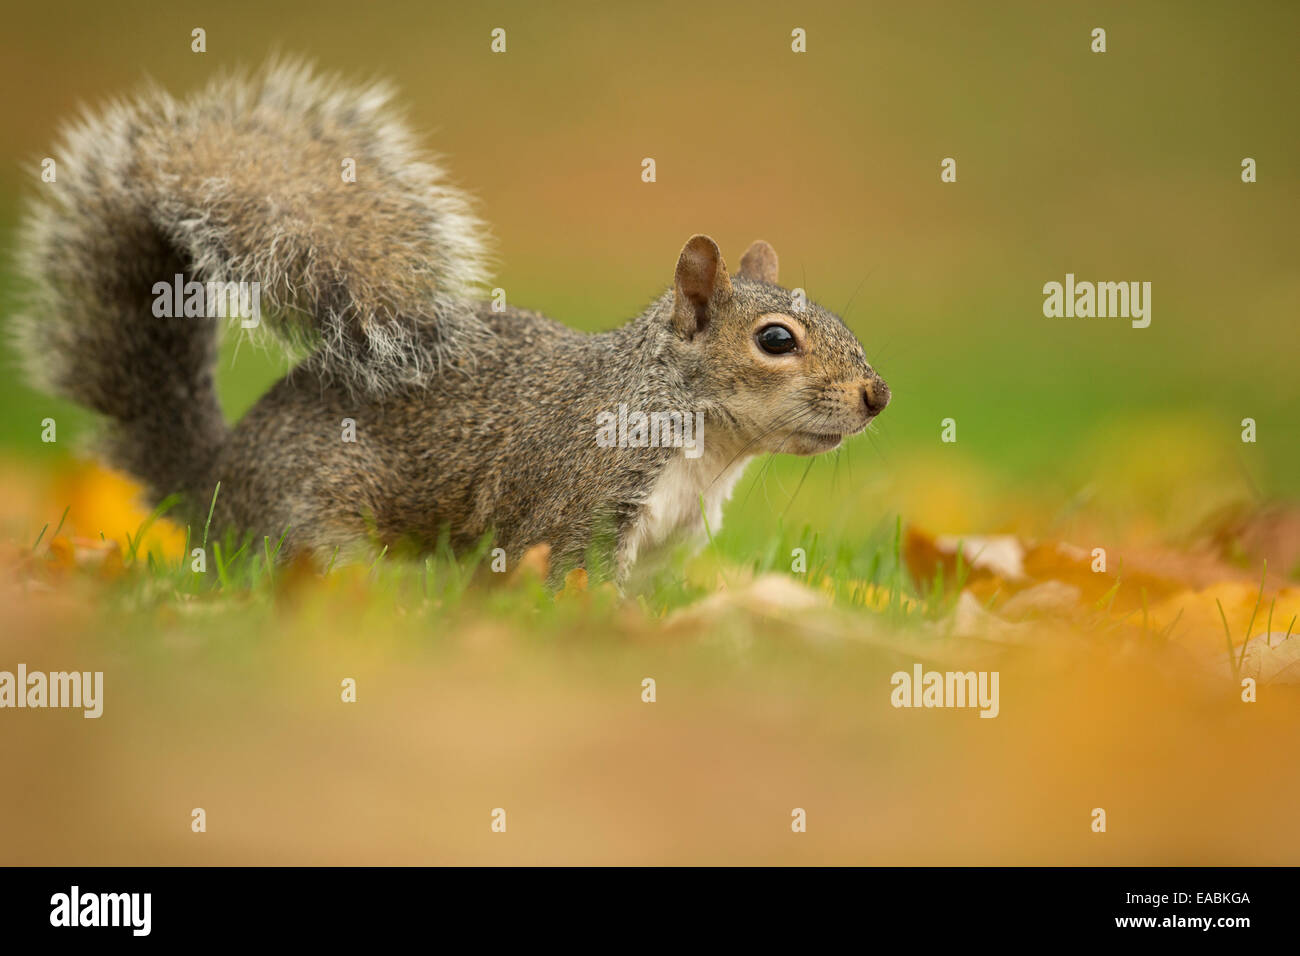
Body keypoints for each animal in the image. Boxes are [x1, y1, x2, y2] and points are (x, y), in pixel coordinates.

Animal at [12, 60, 890, 585]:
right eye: (775, 340)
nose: (876, 396)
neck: (700, 441)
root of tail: (211, 487)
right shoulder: (578, 506)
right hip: (316, 533)